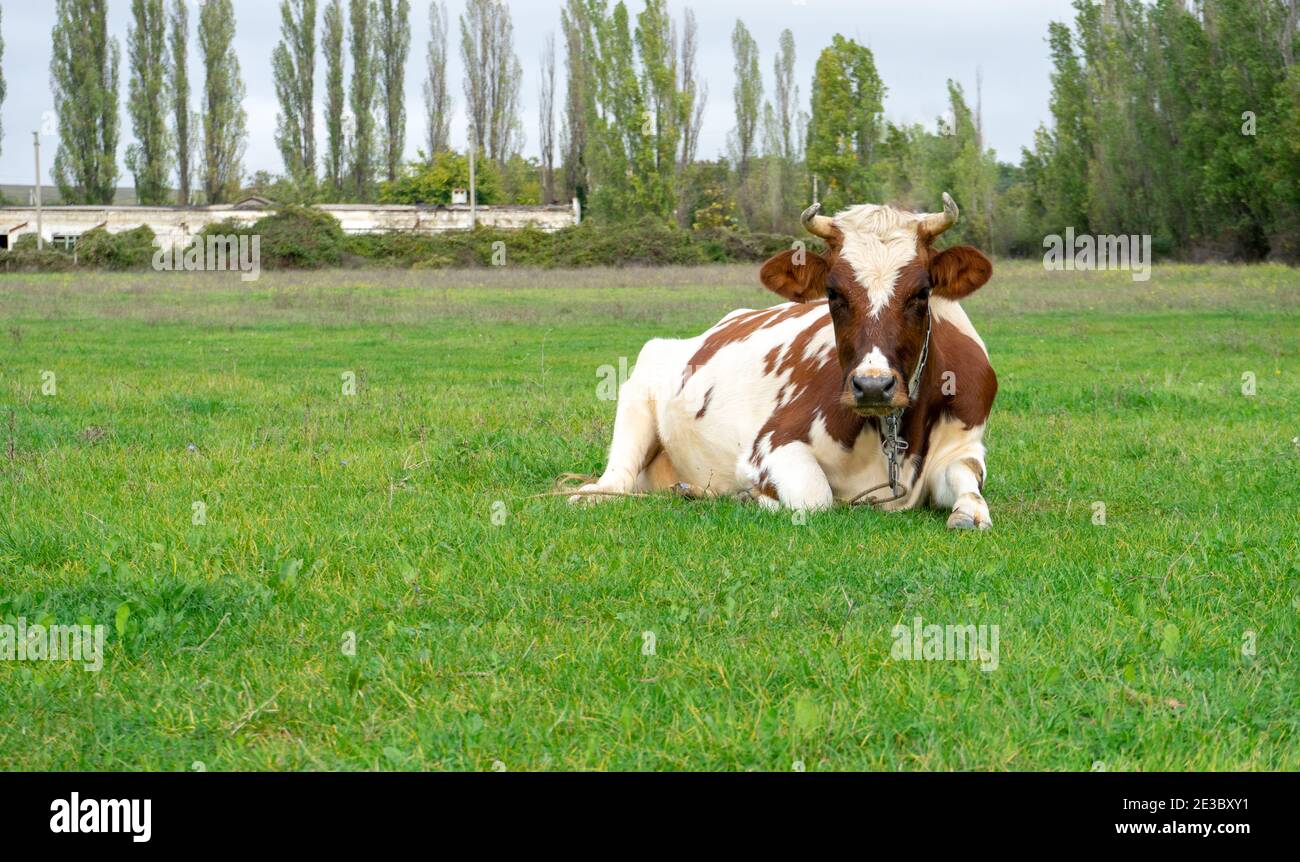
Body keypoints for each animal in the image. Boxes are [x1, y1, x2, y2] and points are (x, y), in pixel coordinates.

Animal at [571, 194, 997, 530]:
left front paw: (969, 513)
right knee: (615, 482)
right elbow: (814, 496)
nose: (873, 385)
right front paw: (748, 496)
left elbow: (967, 476)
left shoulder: (966, 443)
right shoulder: (771, 444)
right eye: (833, 293)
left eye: (922, 291)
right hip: (637, 391)